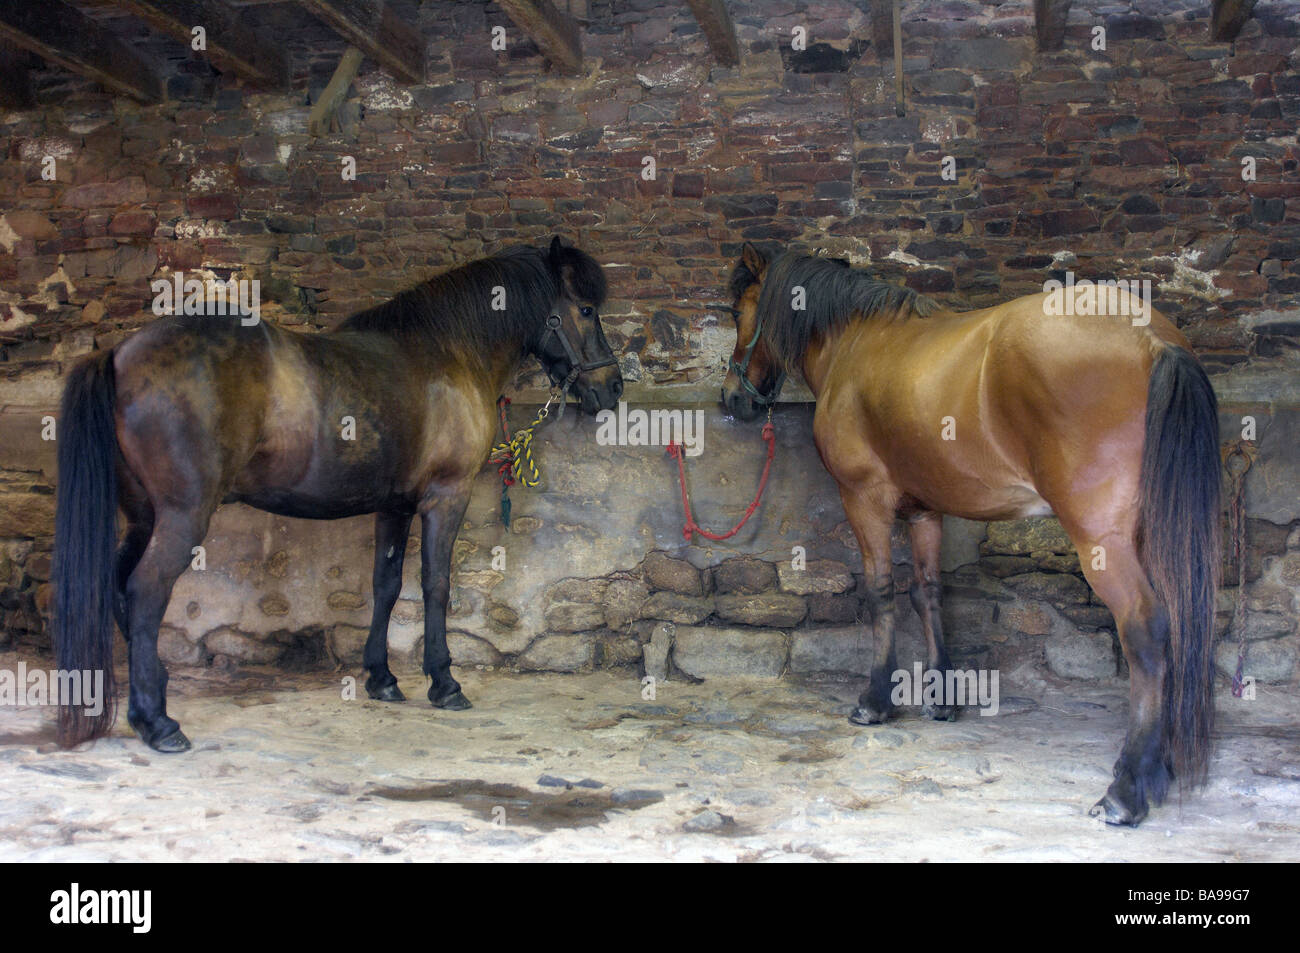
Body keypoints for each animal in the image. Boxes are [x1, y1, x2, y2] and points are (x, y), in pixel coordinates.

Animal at [51, 237, 623, 754]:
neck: (448, 352)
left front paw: (382, 679)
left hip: (143, 516)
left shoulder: (394, 505)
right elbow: (435, 585)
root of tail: (119, 354)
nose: (613, 387)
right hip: (182, 516)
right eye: (586, 310)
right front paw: (444, 683)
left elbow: (386, 585)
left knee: (120, 588)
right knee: (146, 591)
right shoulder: (446, 496)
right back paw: (160, 723)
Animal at [720, 242, 1221, 826]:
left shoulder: (864, 500)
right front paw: (941, 696)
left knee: (1145, 628)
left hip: (1102, 539)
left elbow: (881, 593)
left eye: (737, 312)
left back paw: (1127, 788)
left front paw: (876, 700)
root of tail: (1153, 340)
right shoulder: (924, 512)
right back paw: (1160, 767)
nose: (732, 398)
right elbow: (927, 593)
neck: (857, 342)